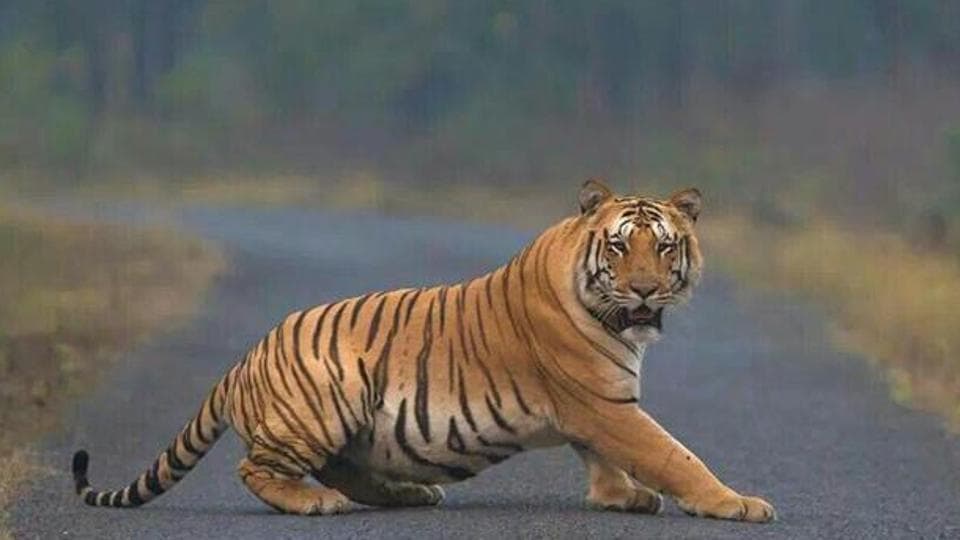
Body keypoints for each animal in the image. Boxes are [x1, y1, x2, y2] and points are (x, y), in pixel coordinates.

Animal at [71, 179, 776, 523]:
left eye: (664, 246)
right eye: (620, 246)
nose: (645, 289)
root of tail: (243, 358)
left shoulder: (598, 409)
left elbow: (611, 459)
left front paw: (619, 497)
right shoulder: (603, 404)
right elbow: (674, 454)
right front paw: (734, 503)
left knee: (341, 468)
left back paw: (407, 494)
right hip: (325, 398)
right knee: (259, 469)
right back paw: (316, 504)